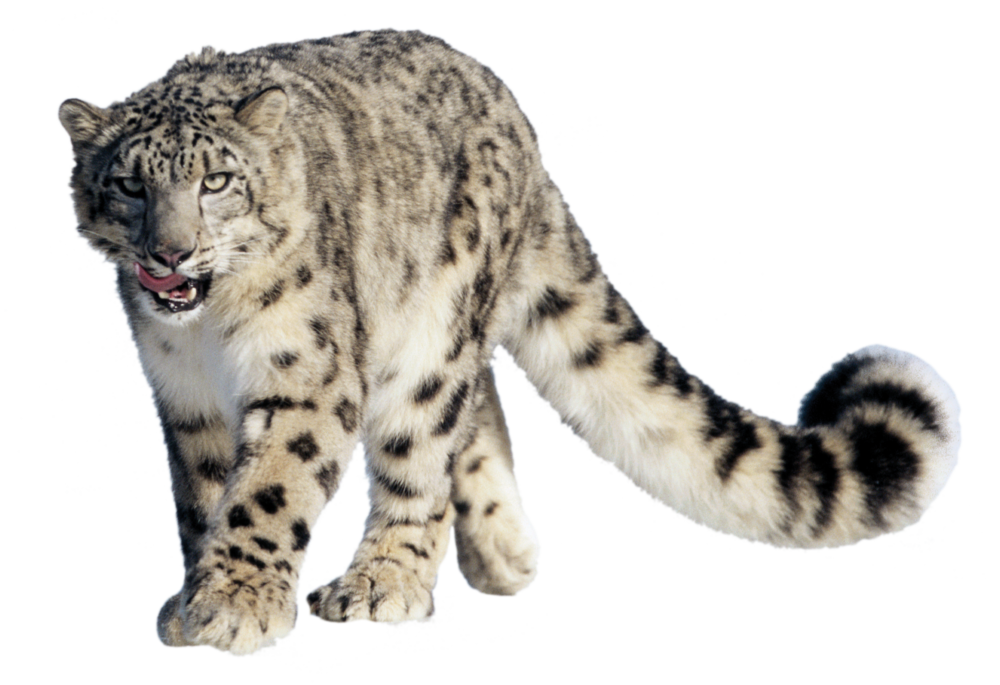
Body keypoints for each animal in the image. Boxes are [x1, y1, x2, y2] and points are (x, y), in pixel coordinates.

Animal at [55, 27, 965, 658]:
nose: (170, 253)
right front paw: (198, 597)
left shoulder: (304, 373)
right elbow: (203, 494)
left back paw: (383, 581)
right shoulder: (185, 395)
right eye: (128, 183)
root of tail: (512, 113)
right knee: (479, 409)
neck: (209, 336)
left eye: (217, 182)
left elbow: (269, 488)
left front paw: (237, 604)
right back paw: (504, 552)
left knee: (426, 442)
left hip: (431, 327)